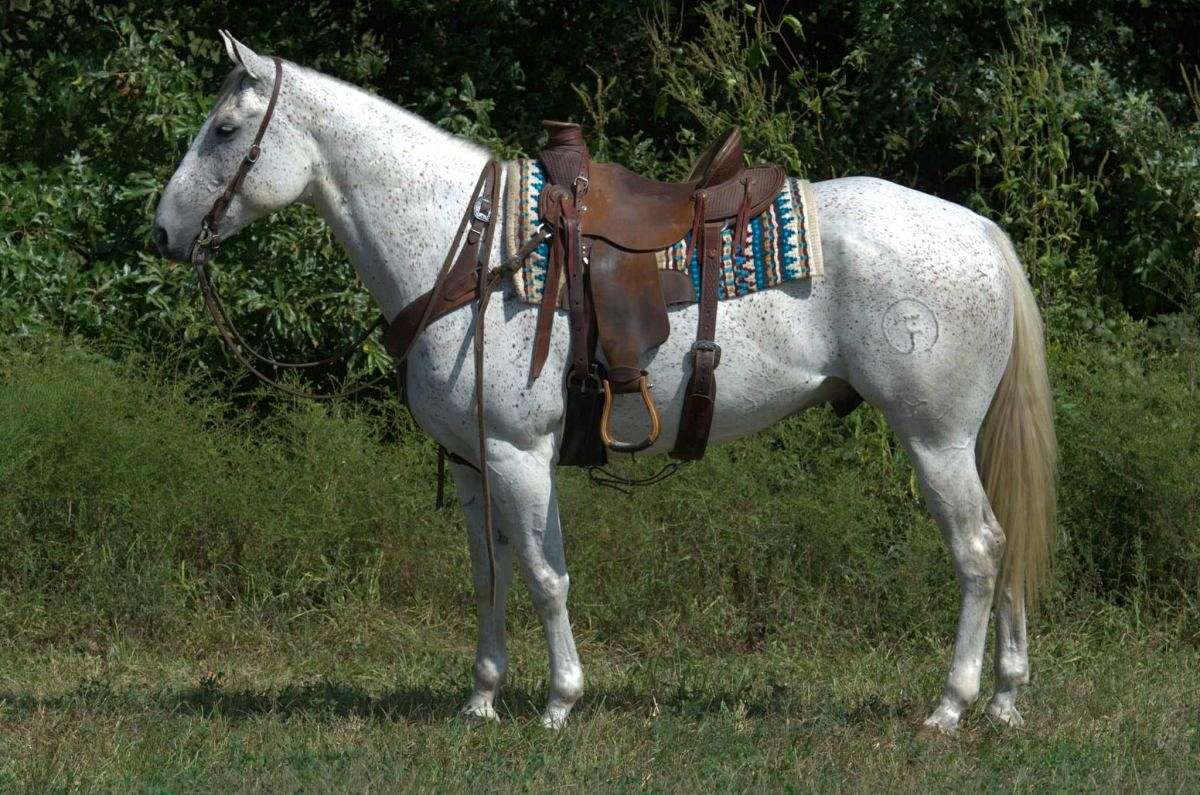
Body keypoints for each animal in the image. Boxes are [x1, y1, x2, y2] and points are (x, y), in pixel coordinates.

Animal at [153, 33, 1056, 734]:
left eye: (226, 129)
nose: (163, 231)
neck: (469, 254)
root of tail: (979, 229)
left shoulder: (519, 452)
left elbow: (546, 574)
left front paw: (560, 702)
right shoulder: (476, 463)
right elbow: (492, 574)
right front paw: (481, 700)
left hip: (933, 435)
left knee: (980, 547)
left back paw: (951, 705)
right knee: (1008, 537)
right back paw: (1006, 699)